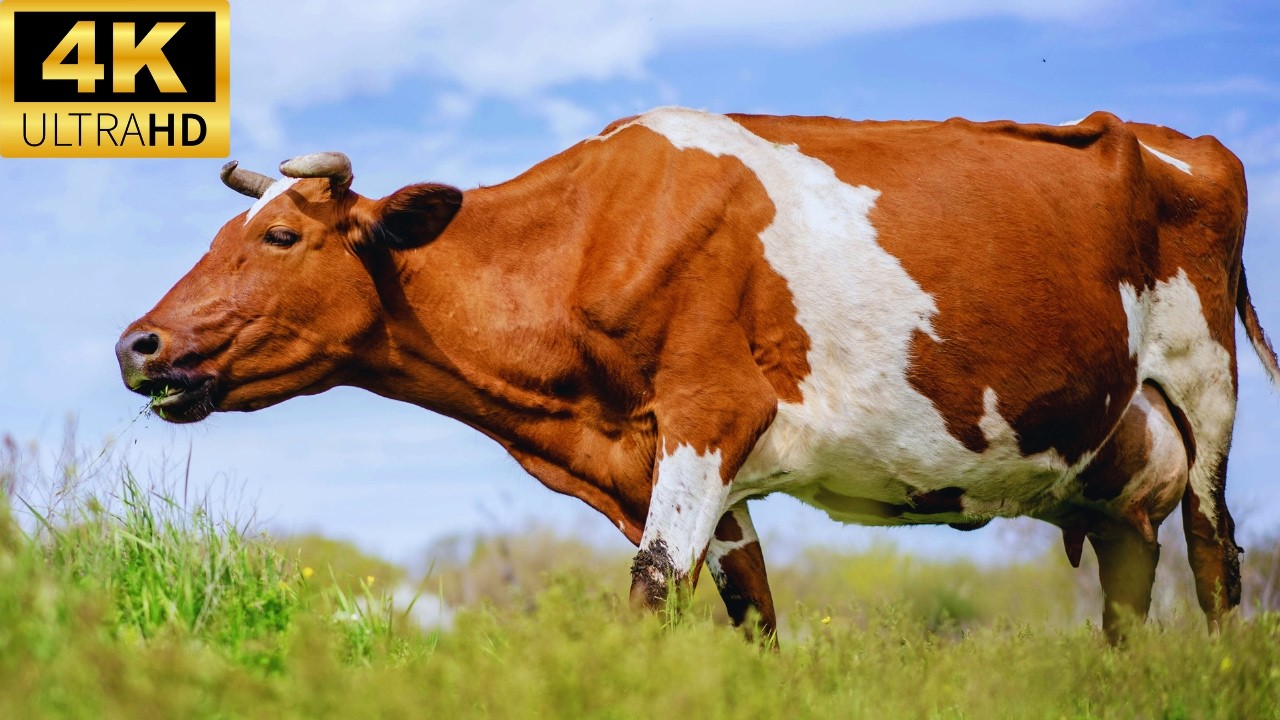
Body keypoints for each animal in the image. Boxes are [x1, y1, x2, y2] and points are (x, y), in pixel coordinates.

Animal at [116, 107, 1275, 642]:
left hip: (1205, 389)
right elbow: (747, 607)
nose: (137, 344)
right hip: (1116, 461)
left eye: (279, 237)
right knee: (1129, 579)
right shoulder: (665, 460)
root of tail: (1171, 139)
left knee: (1215, 555)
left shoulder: (709, 414)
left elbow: (649, 590)